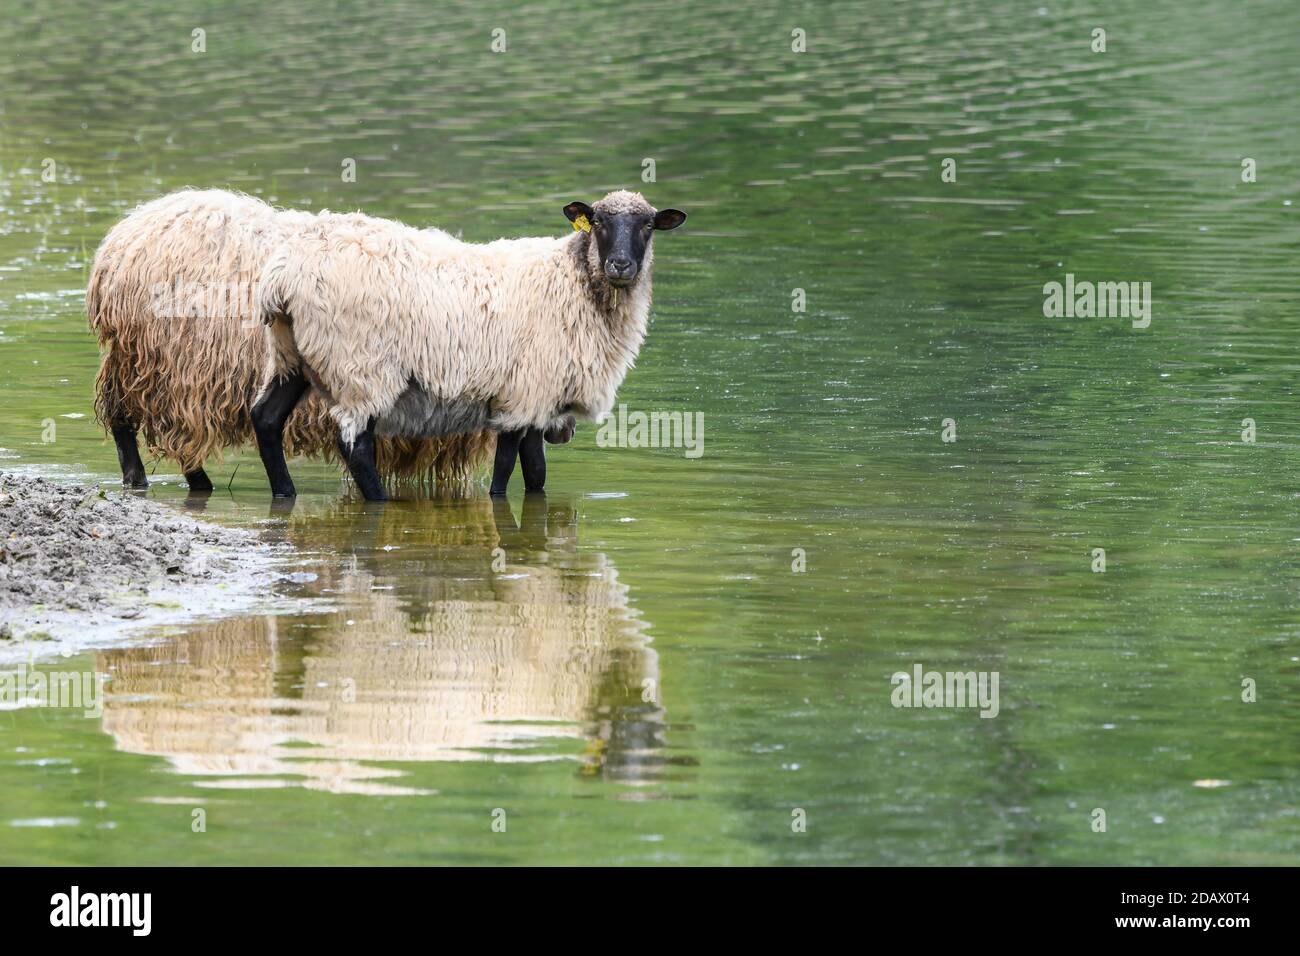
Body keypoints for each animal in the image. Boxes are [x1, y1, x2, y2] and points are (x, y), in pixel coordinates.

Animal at [252, 189, 686, 500]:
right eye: (597, 222)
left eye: (648, 225)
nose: (620, 266)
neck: (575, 279)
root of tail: (282, 275)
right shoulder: (523, 393)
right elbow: (507, 467)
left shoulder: (539, 397)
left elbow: (536, 471)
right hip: (360, 366)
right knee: (355, 447)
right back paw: (378, 500)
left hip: (290, 355)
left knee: (266, 418)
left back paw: (285, 492)